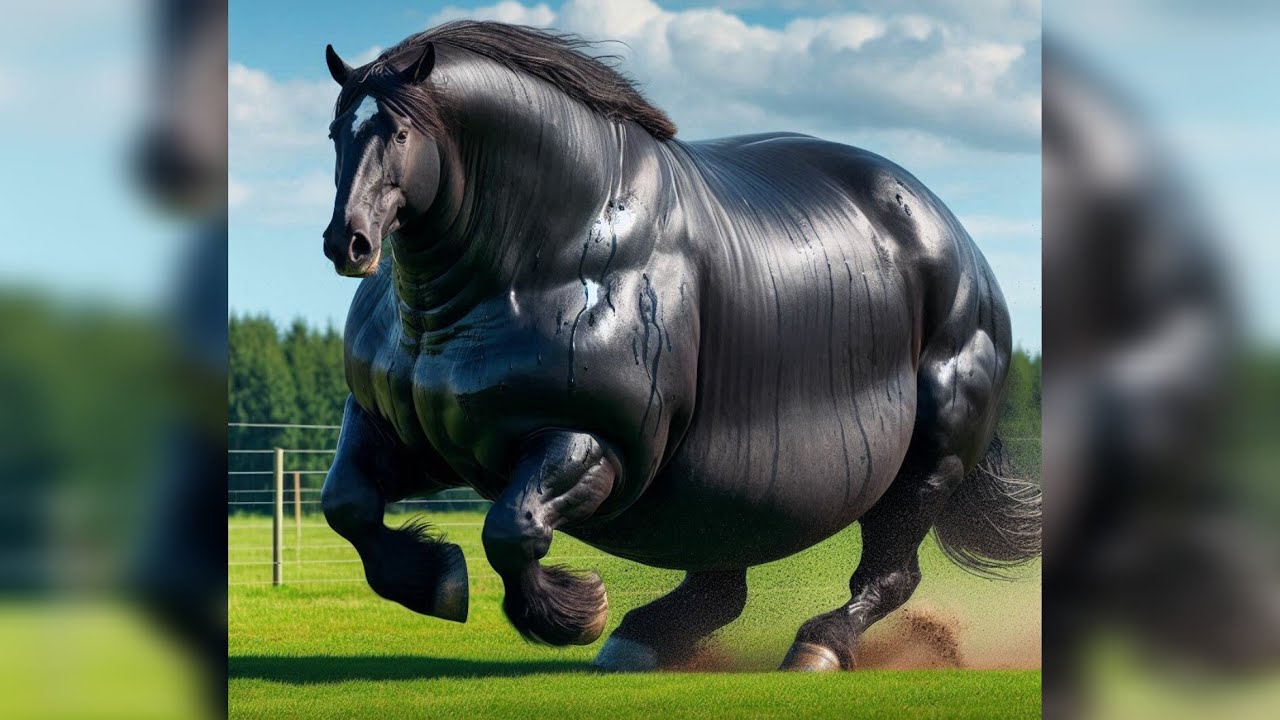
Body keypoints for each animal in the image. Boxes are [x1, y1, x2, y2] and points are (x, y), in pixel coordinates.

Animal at [318, 20, 1039, 672]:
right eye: (334, 132)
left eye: (400, 132)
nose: (346, 242)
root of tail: (953, 237)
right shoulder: (408, 429)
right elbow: (347, 505)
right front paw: (440, 581)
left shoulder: (595, 443)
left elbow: (512, 528)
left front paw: (575, 614)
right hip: (733, 485)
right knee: (723, 584)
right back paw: (641, 641)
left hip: (929, 457)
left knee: (889, 576)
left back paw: (817, 647)